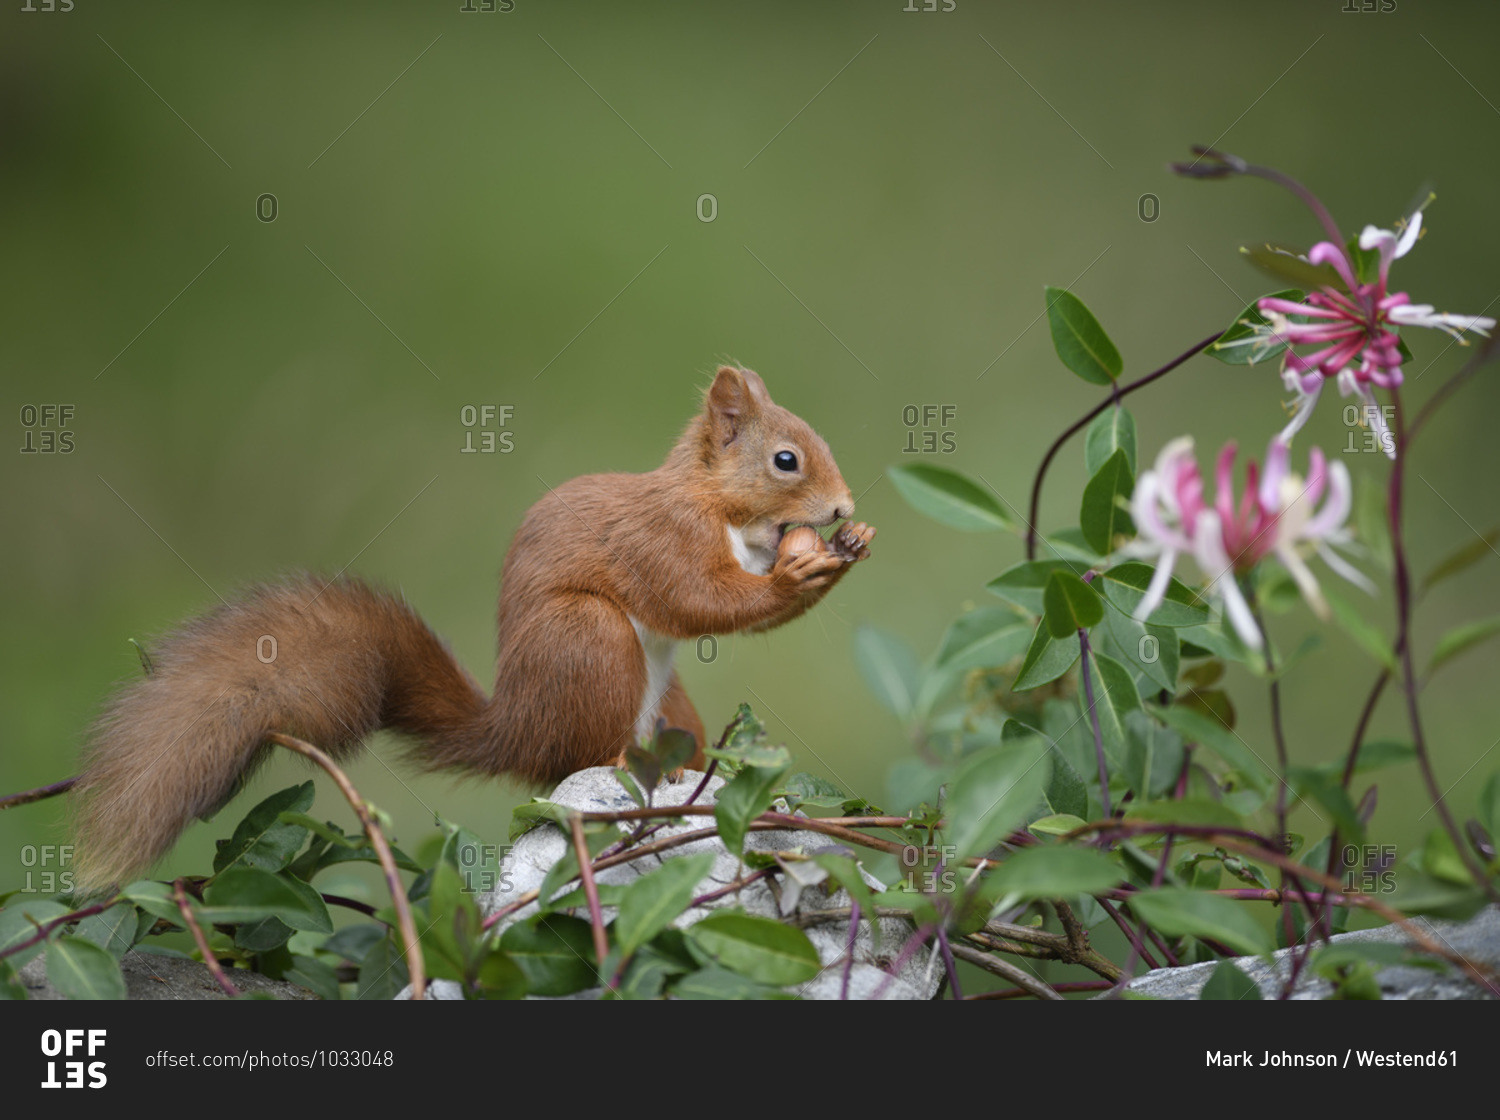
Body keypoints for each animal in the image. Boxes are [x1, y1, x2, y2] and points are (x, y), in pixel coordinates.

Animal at [69, 365, 875, 893]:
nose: (842, 507)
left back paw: (696, 772)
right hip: (590, 643)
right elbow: (702, 601)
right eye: (785, 460)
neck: (724, 511)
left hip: (670, 701)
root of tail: (519, 730)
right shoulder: (663, 541)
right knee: (586, 754)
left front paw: (852, 545)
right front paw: (804, 572)